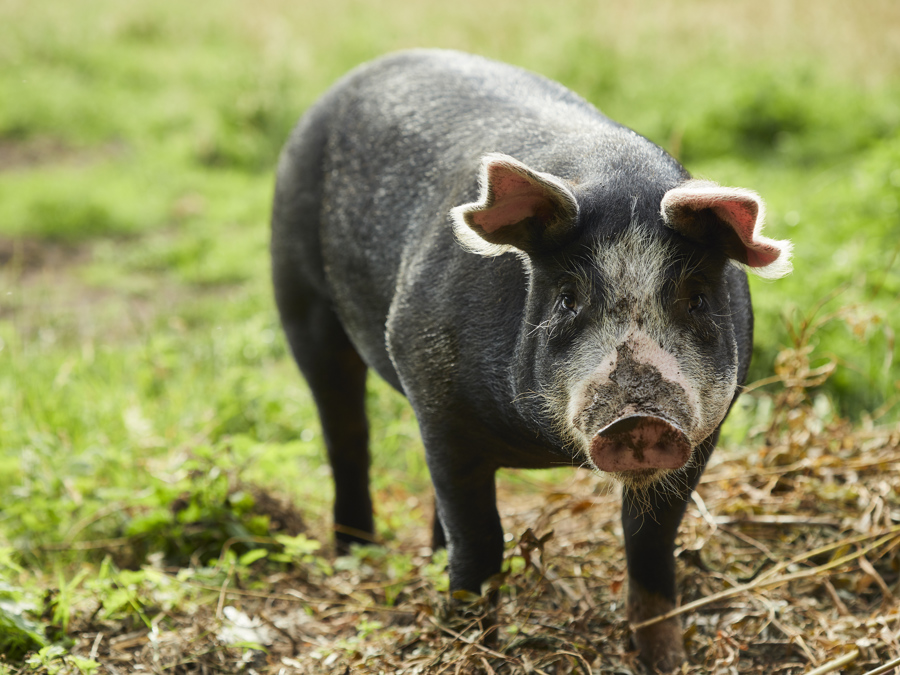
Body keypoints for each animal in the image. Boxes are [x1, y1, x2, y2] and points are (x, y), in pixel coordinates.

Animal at [270, 49, 791, 670]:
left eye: (696, 300)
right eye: (567, 297)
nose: (639, 418)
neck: (544, 448)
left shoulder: (706, 431)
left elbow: (651, 545)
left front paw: (665, 661)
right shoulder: (435, 392)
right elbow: (480, 541)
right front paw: (469, 644)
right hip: (298, 293)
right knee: (346, 434)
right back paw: (355, 552)